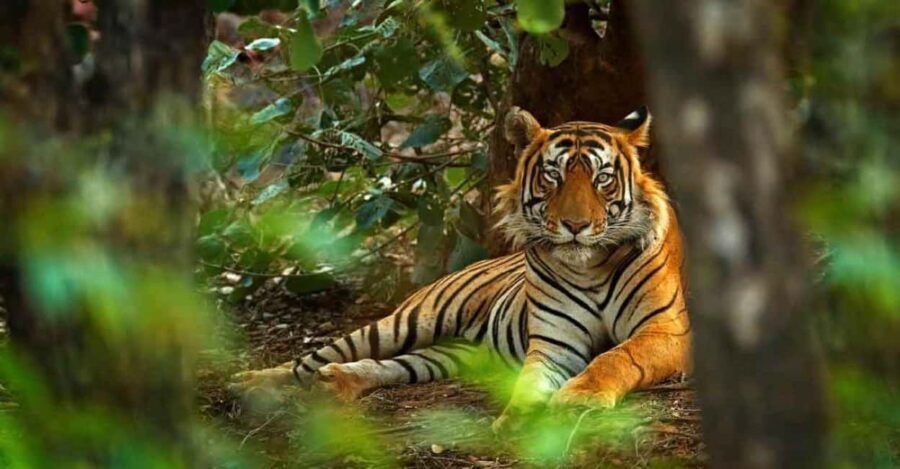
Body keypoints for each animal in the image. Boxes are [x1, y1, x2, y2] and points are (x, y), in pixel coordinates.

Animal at [230, 107, 692, 430]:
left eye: (602, 179)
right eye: (553, 177)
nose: (575, 226)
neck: (589, 267)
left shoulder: (666, 329)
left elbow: (616, 357)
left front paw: (579, 398)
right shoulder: (553, 343)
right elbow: (529, 382)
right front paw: (518, 420)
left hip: (453, 354)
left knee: (391, 365)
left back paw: (335, 382)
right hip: (407, 321)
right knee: (311, 359)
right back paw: (251, 382)